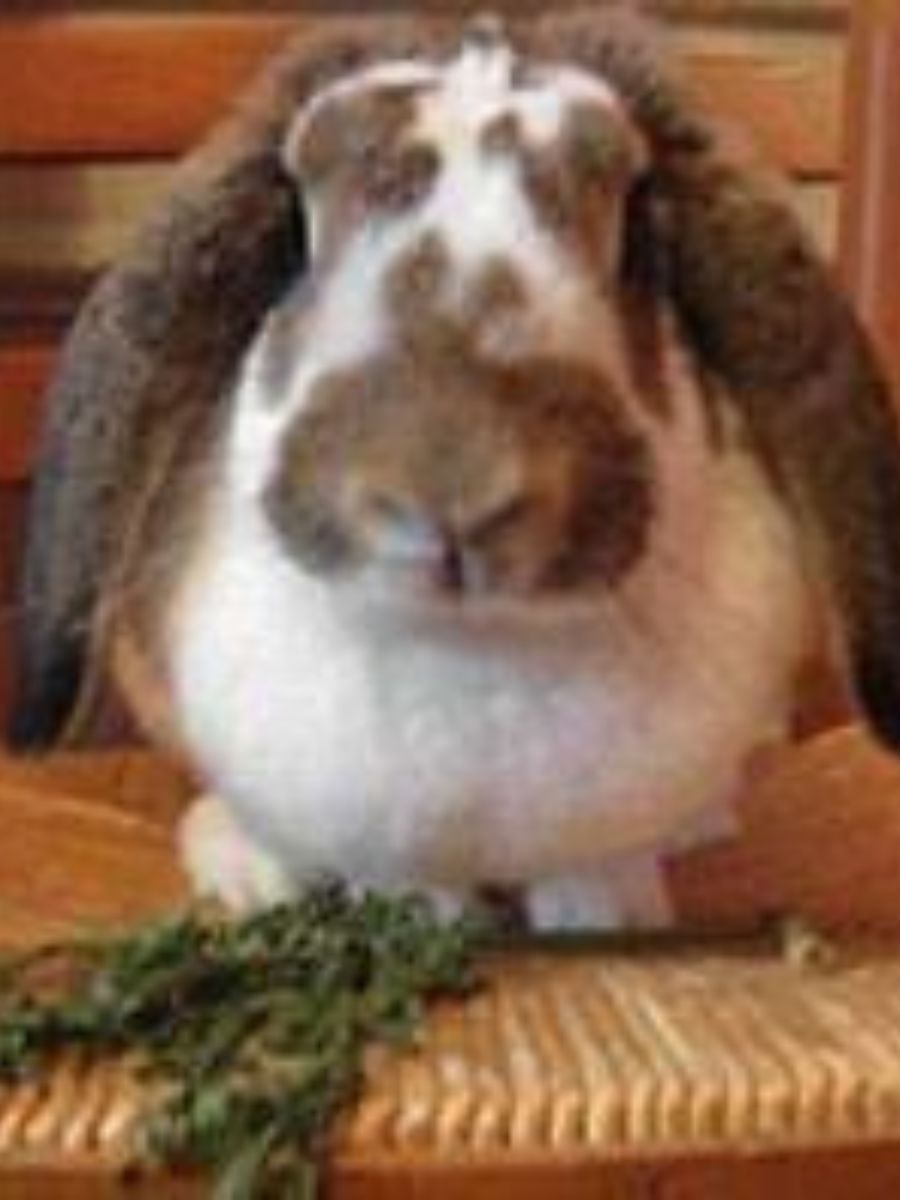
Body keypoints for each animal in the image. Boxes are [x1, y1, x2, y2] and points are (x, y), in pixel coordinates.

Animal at [11, 7, 900, 929]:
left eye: (636, 238)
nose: (455, 494)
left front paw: (610, 924)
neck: (470, 644)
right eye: (297, 233)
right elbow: (412, 894)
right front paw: (427, 924)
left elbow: (596, 882)